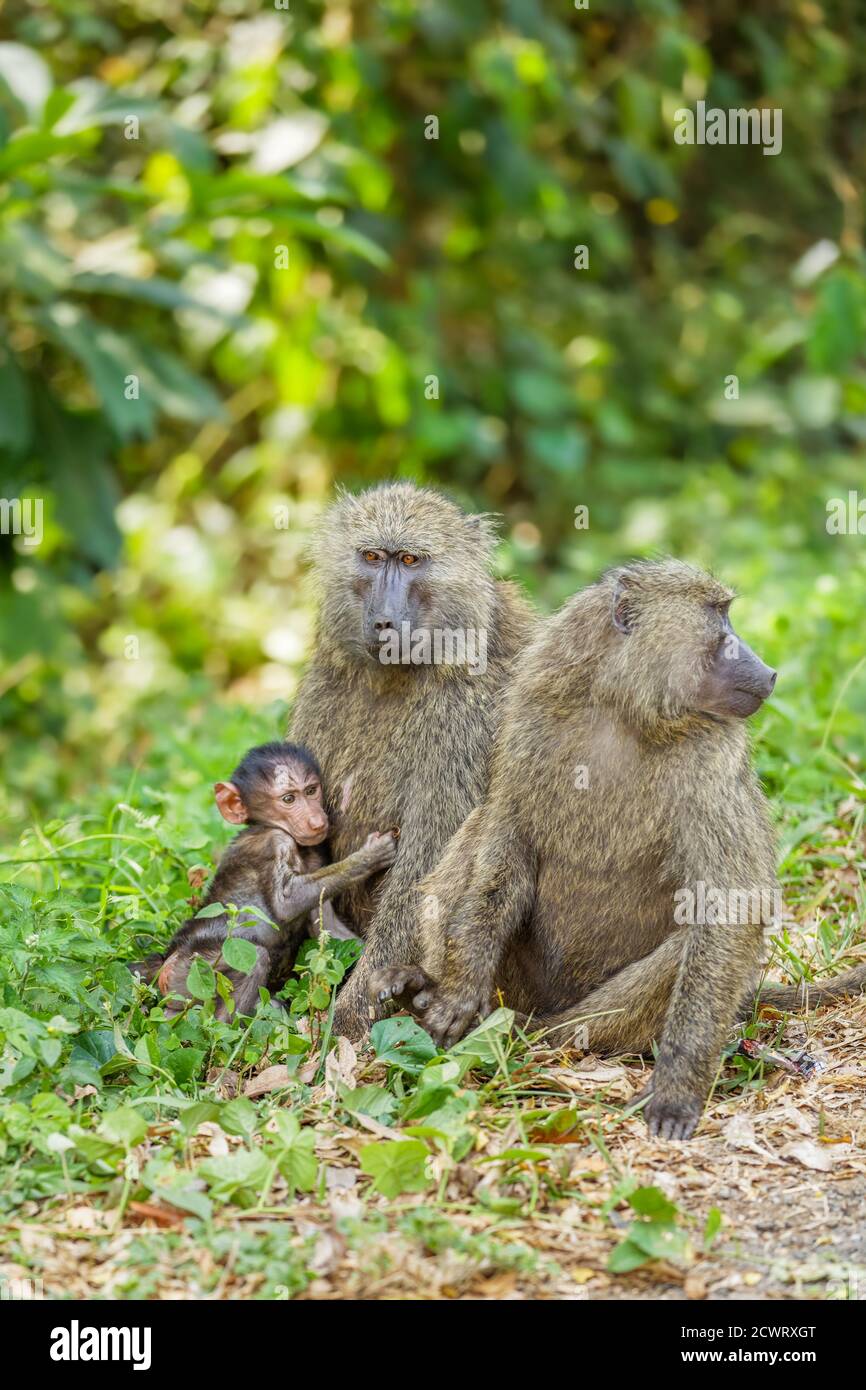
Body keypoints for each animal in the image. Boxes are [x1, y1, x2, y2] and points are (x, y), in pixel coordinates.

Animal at [132, 742, 398, 1019]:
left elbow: (329, 927)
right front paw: (369, 855)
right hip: (189, 972)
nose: (316, 820)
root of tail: (165, 962)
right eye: (288, 799)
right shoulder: (275, 842)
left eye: (311, 791)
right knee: (255, 958)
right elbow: (286, 903)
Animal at [289, 482, 534, 1041]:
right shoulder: (325, 687)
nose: (383, 620)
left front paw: (350, 1015)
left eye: (409, 559)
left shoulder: (467, 716)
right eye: (372, 557)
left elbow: (425, 860)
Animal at [367, 558, 812, 1141]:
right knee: (476, 837)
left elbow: (730, 905)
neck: (620, 711)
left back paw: (531, 1031)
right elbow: (506, 846)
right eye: (721, 617)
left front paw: (676, 1089)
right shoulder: (528, 721)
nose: (770, 672)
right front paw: (458, 990)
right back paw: (430, 987)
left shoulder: (714, 756)